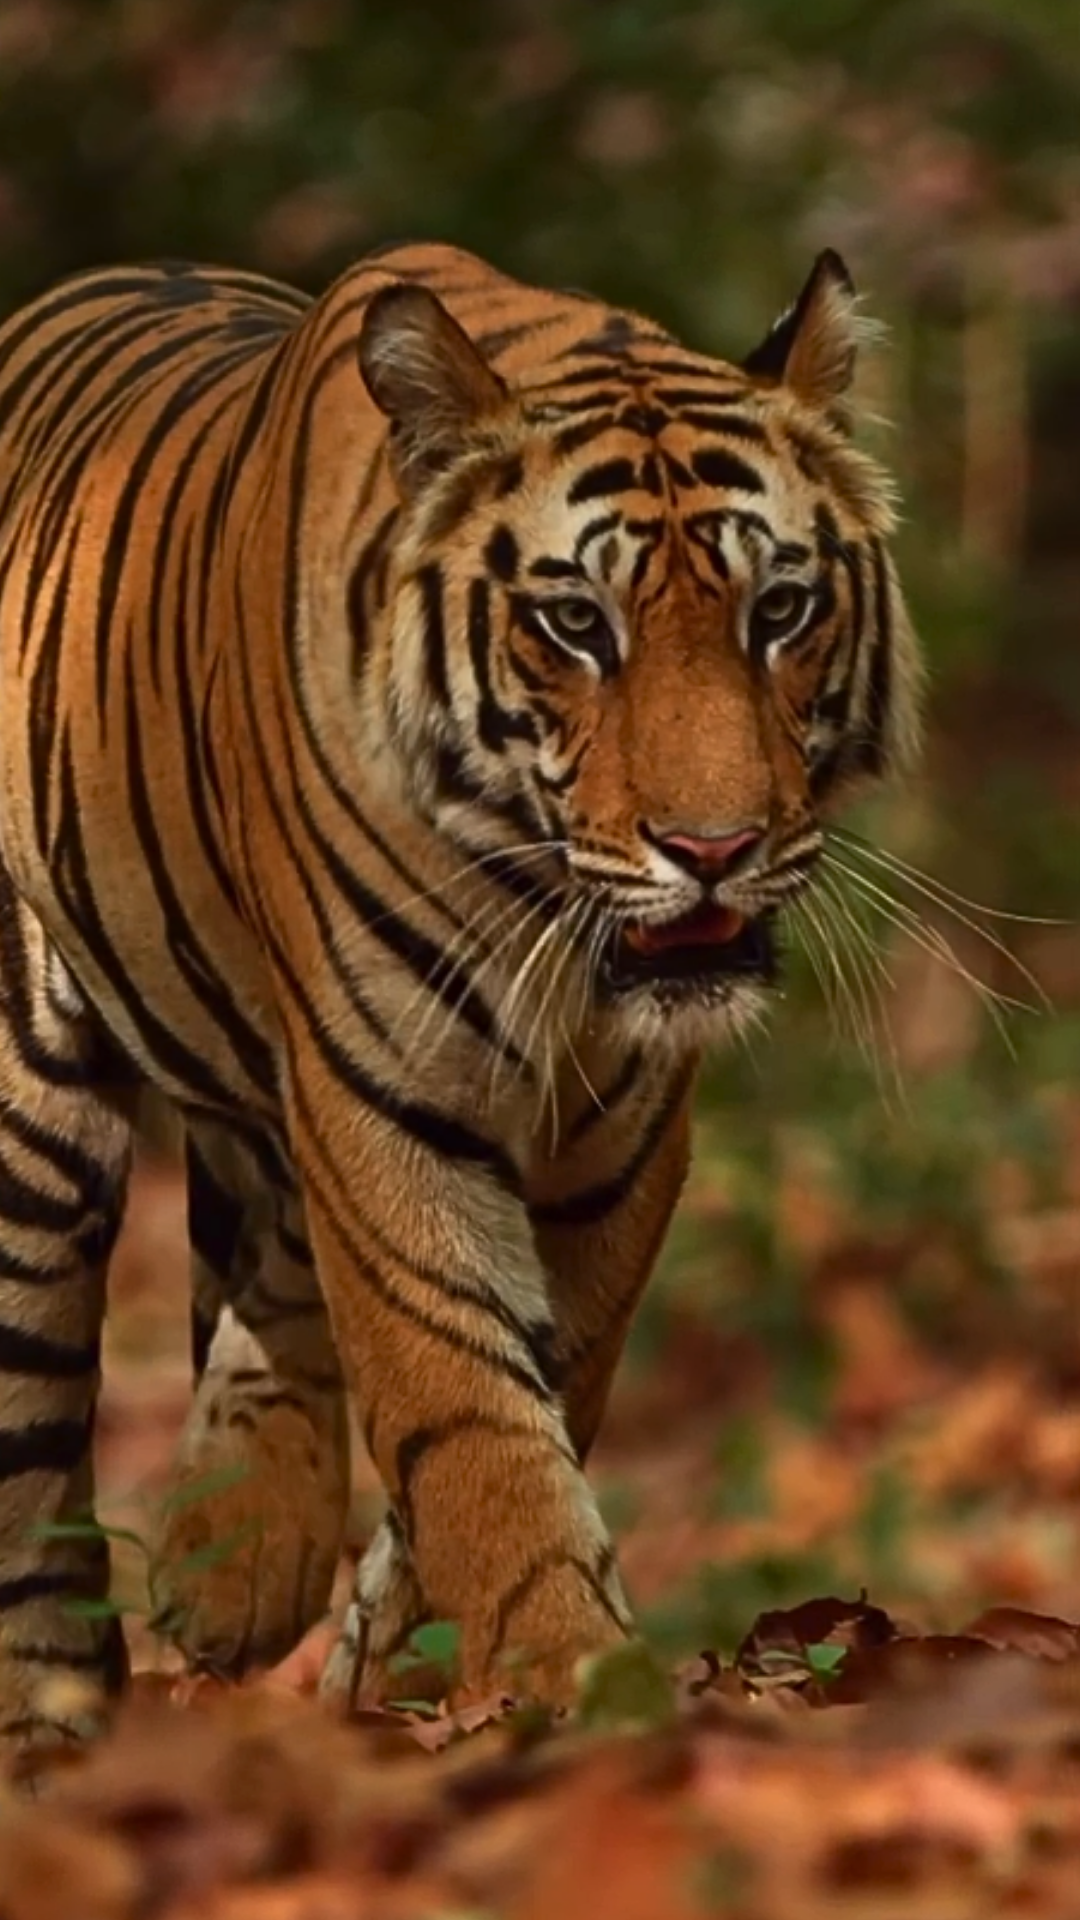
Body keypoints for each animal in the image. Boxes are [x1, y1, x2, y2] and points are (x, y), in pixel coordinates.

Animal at [0, 237, 920, 1751]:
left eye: (778, 611)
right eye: (576, 624)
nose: (715, 849)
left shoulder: (621, 1142)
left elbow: (542, 1381)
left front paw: (409, 1666)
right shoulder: (382, 1097)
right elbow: (469, 1411)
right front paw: (572, 1677)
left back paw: (230, 1560)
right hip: (38, 1113)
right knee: (29, 1415)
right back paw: (55, 1702)